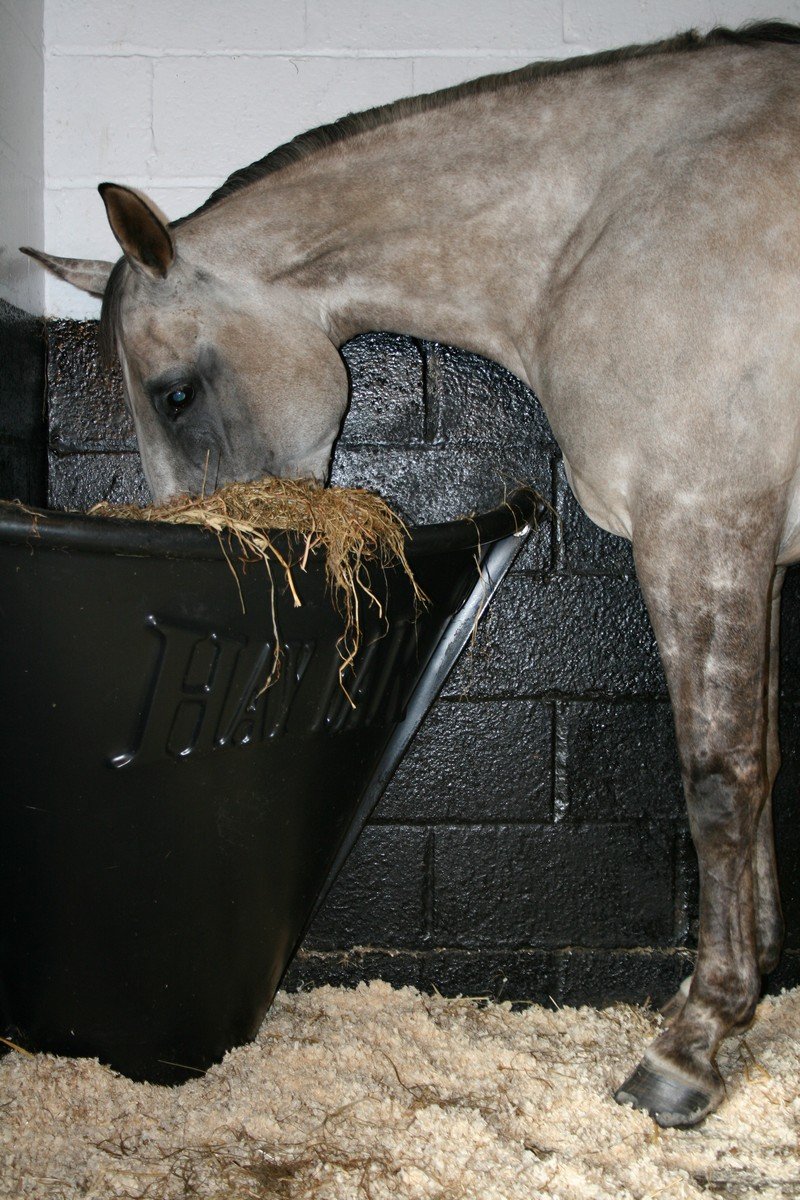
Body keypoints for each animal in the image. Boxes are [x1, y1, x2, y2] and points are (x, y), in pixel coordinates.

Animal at [22, 20, 800, 1127]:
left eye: (174, 394)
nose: (219, 545)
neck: (613, 218)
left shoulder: (704, 520)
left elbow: (719, 780)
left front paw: (692, 1044)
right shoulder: (750, 550)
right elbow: (760, 763)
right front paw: (748, 991)